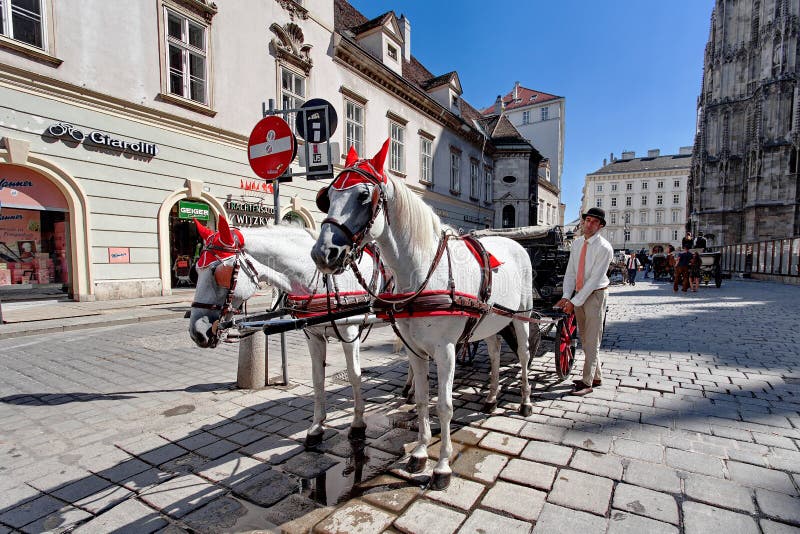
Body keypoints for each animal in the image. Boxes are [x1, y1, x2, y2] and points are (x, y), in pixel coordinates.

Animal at [188, 216, 389, 447]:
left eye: (218, 271)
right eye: (196, 271)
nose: (197, 332)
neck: (323, 280)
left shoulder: (349, 334)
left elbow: (354, 376)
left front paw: (357, 424)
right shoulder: (313, 335)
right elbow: (317, 379)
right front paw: (316, 428)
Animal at [310, 141, 534, 490]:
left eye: (363, 196)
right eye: (328, 196)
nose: (324, 254)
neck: (423, 270)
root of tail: (514, 242)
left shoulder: (445, 351)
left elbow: (444, 405)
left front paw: (441, 467)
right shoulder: (415, 350)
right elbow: (421, 399)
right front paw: (418, 453)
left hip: (521, 318)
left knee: (523, 356)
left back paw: (524, 401)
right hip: (491, 321)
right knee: (497, 353)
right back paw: (492, 396)